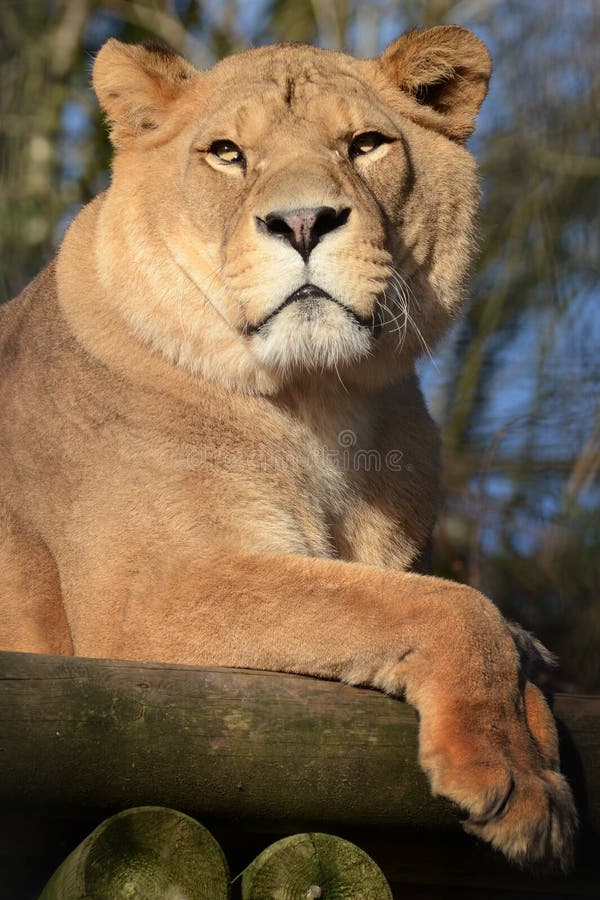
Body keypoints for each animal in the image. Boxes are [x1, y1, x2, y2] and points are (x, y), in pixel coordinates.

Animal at [0, 27, 576, 869]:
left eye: (365, 144)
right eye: (227, 153)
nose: (302, 223)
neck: (320, 403)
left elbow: (462, 611)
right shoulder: (145, 605)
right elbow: (448, 605)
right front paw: (514, 777)